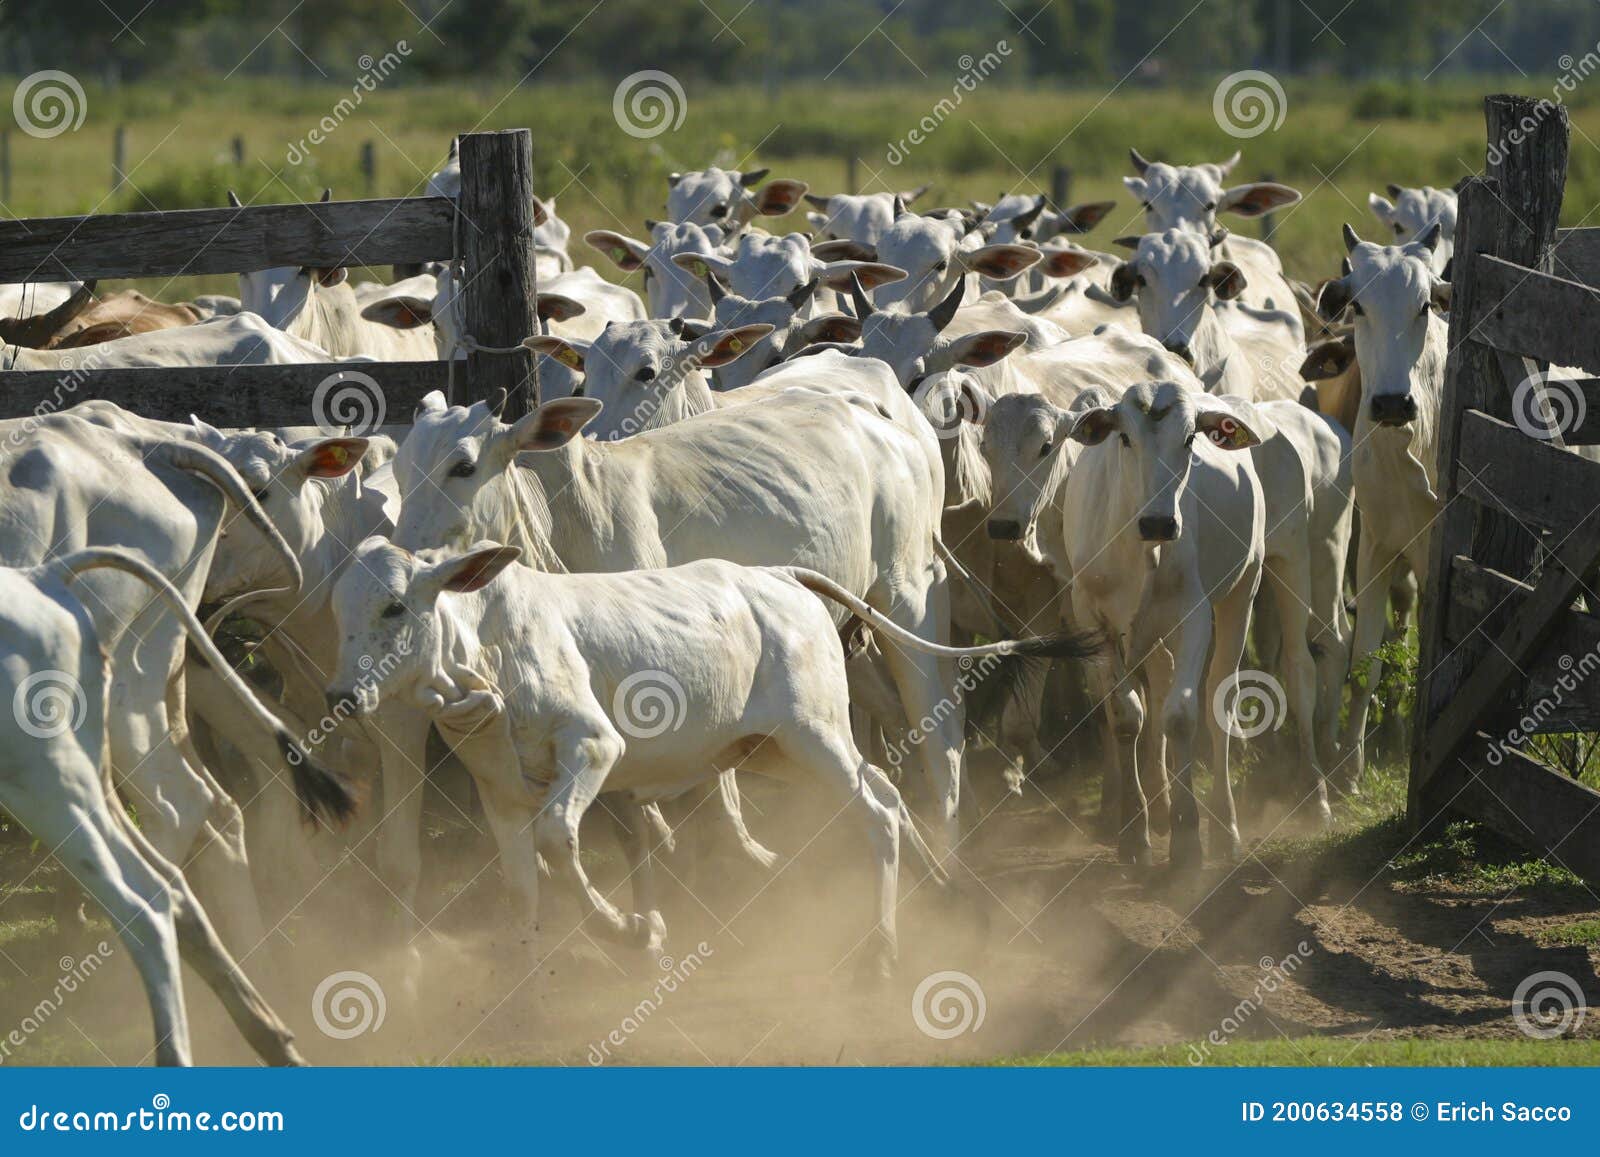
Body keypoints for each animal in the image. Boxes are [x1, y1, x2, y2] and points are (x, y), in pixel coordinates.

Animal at [0, 546, 342, 1066]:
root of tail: (45, 577)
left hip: (46, 785)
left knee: (144, 900)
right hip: (90, 780)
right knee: (176, 888)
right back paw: (272, 1037)